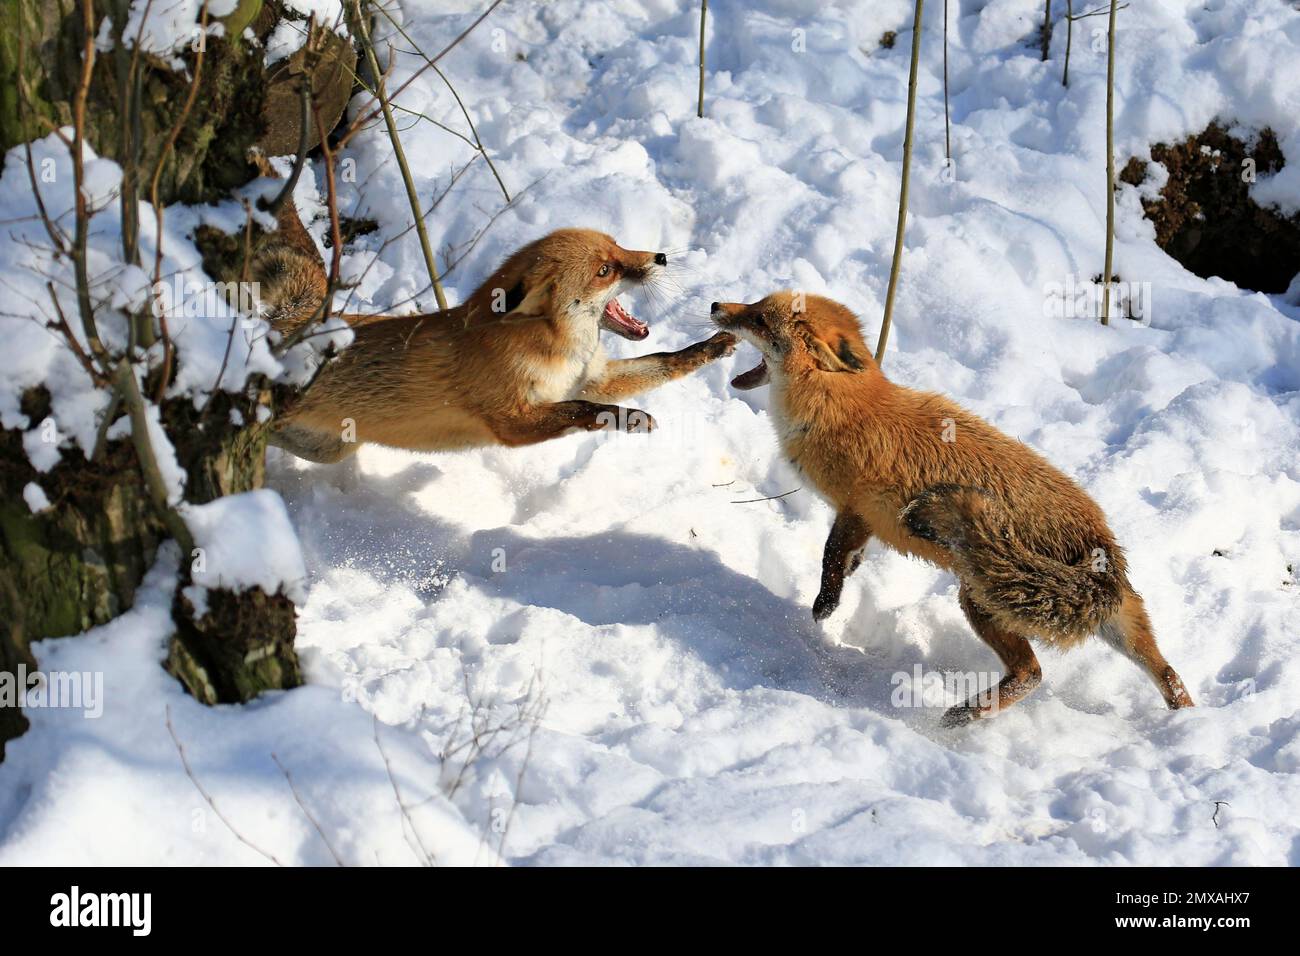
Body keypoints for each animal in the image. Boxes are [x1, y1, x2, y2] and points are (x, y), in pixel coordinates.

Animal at [261, 227, 737, 461]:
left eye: (619, 247)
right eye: (605, 270)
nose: (660, 258)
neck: (556, 353)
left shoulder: (591, 377)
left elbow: (666, 360)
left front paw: (712, 346)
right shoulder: (512, 422)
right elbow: (583, 410)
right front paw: (630, 418)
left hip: (327, 450)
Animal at [711, 291, 1194, 726]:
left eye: (759, 319)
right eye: (756, 304)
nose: (716, 306)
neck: (842, 407)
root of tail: (1100, 548)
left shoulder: (858, 506)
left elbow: (831, 556)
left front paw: (825, 605)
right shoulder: (866, 518)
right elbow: (848, 555)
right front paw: (849, 574)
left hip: (980, 598)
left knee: (1032, 672)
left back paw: (966, 714)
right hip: (1120, 625)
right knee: (1168, 672)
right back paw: (1186, 720)